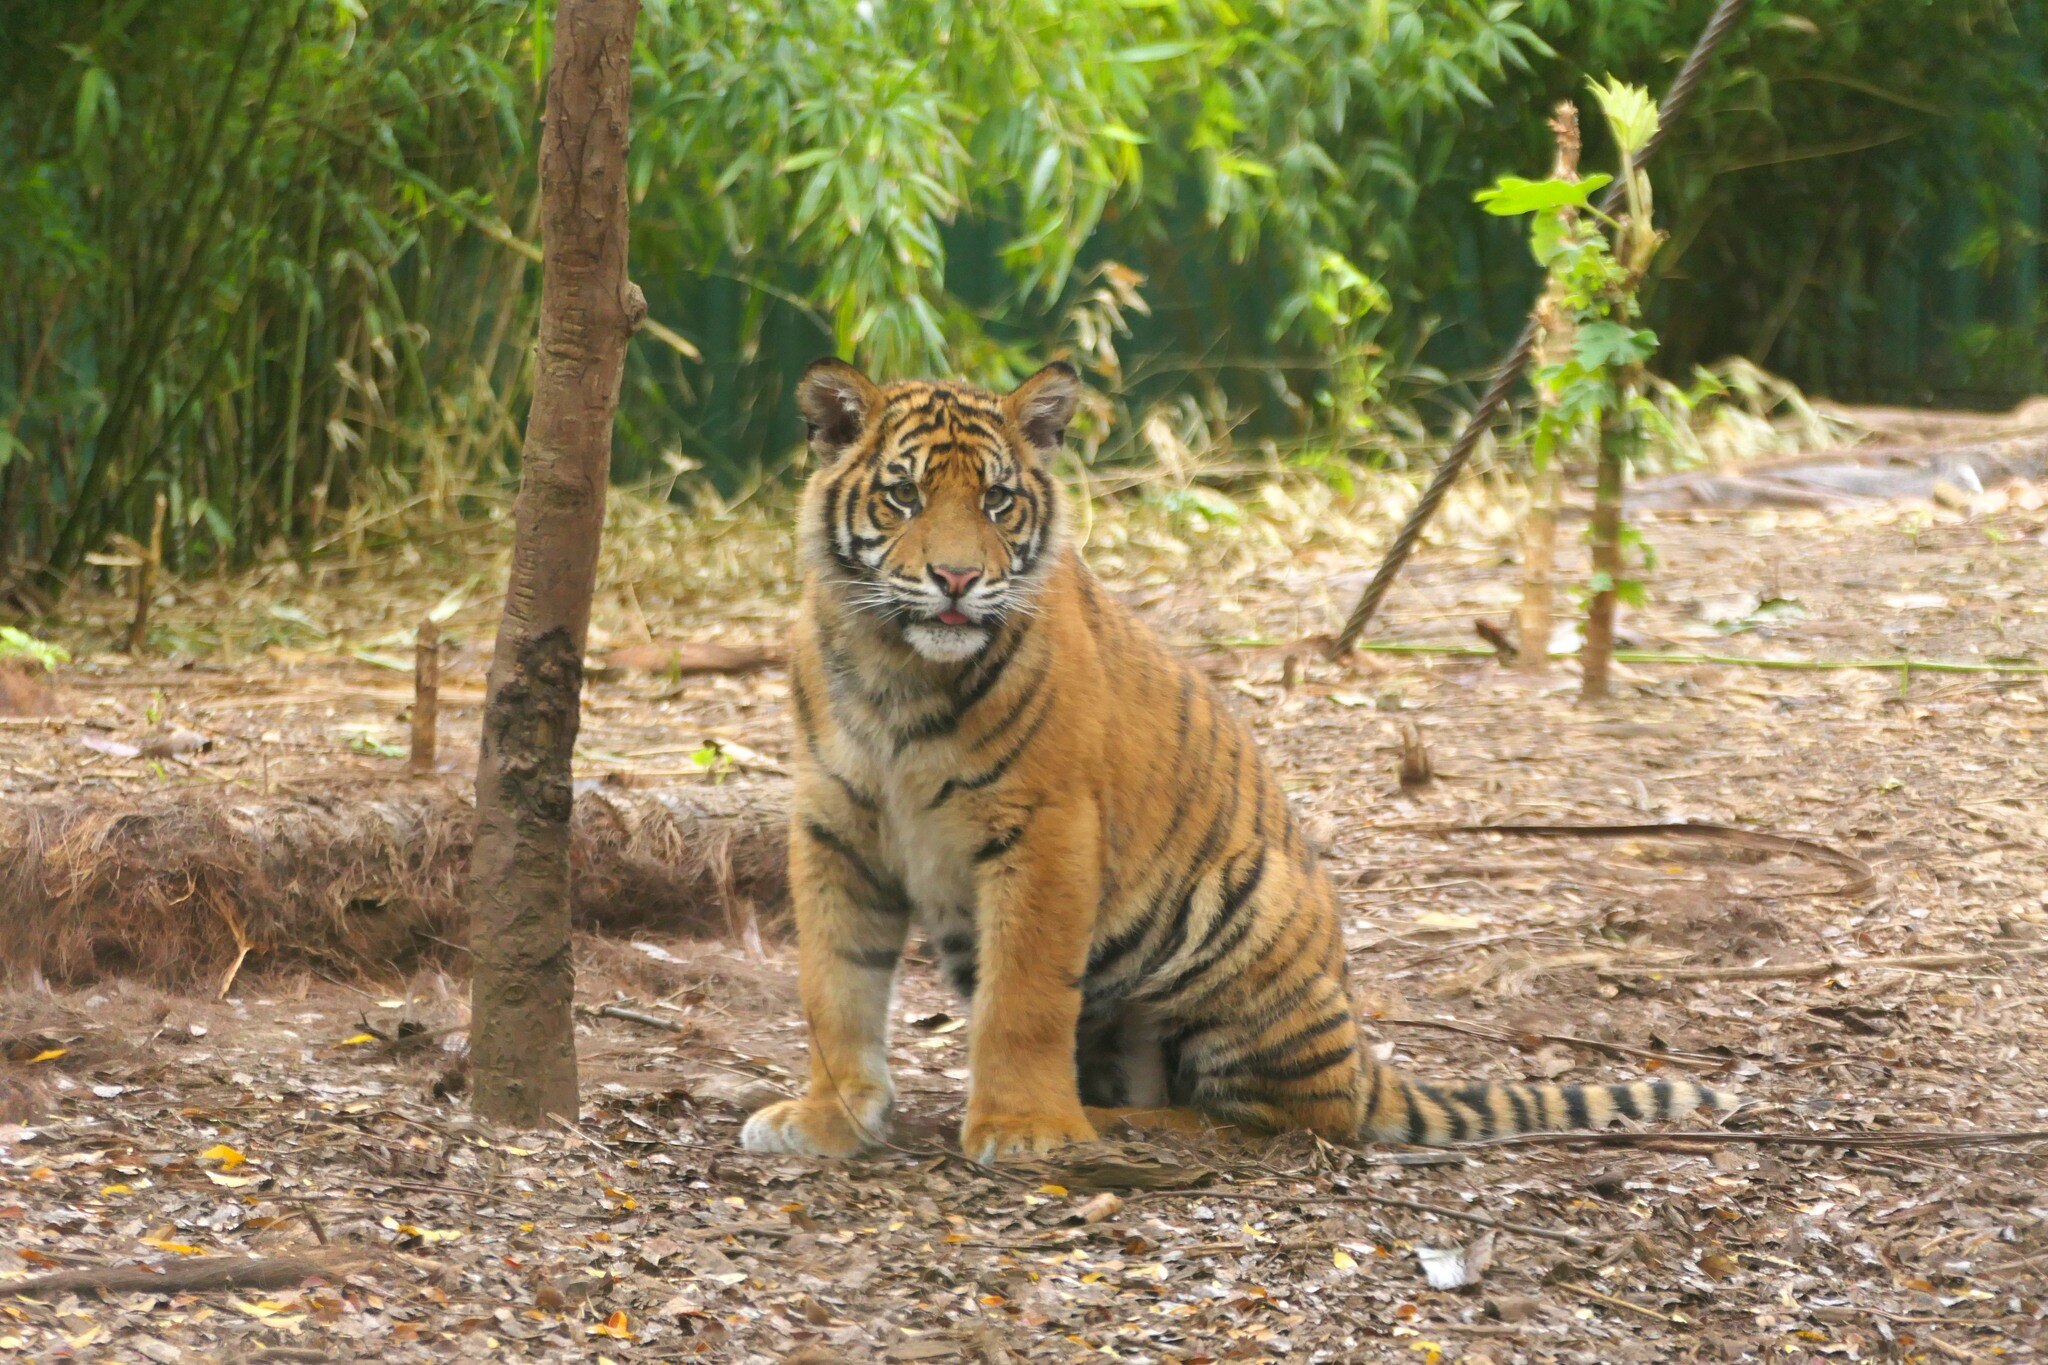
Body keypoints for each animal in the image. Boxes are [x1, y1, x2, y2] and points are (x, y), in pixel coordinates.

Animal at [740, 357, 1735, 1165]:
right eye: (904, 497)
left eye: (997, 500)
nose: (955, 580)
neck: (896, 668)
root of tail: (1366, 1057)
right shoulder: (836, 827)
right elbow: (835, 986)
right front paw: (829, 1114)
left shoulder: (1047, 828)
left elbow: (1022, 998)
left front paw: (1023, 1128)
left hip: (1242, 905)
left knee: (1288, 1114)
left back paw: (1118, 1125)